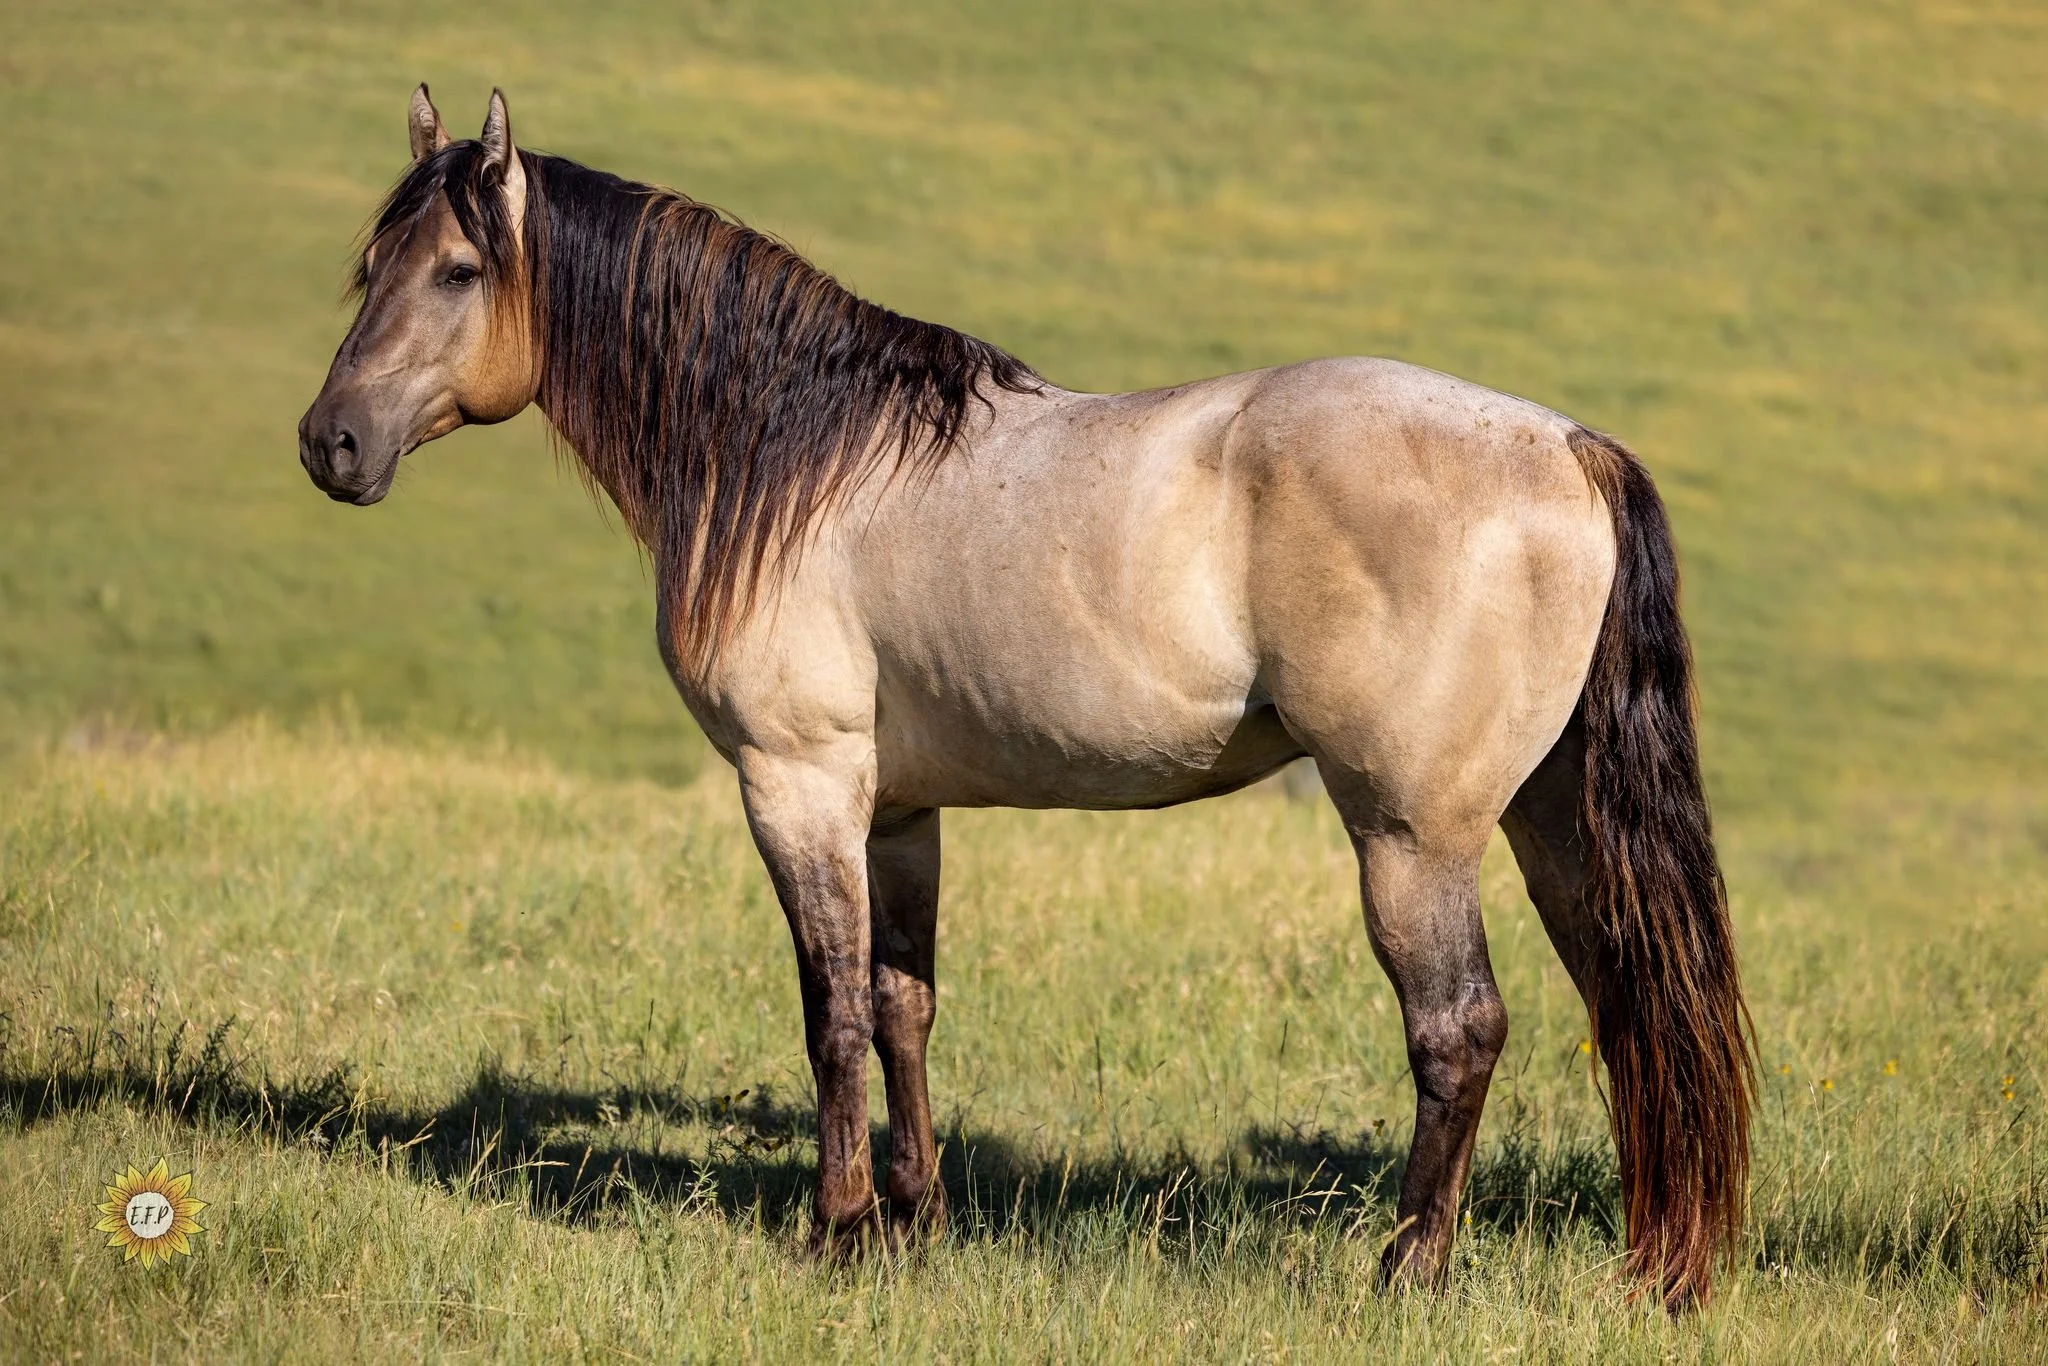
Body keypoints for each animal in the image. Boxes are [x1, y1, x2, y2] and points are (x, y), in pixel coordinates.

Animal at [298, 86, 1753, 1308]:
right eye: (370, 268)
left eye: (457, 270)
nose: (330, 444)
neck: (800, 458)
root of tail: (1567, 446)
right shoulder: (898, 809)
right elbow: (902, 1003)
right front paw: (913, 1222)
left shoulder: (798, 784)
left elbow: (830, 1007)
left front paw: (834, 1229)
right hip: (1551, 822)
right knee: (1628, 1007)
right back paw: (1647, 1266)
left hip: (1411, 835)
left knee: (1459, 1029)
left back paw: (1407, 1269)